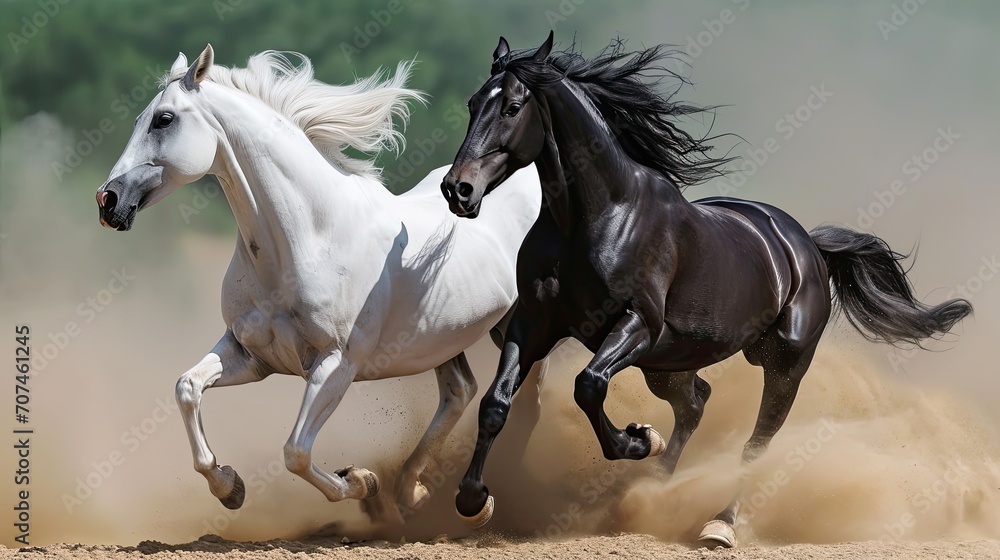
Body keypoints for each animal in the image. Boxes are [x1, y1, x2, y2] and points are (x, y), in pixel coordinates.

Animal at [95, 44, 543, 517]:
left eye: (163, 119)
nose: (107, 201)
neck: (309, 239)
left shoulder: (335, 365)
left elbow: (296, 451)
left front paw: (362, 482)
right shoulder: (249, 354)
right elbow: (187, 388)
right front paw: (229, 486)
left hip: (517, 328)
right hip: (445, 340)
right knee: (460, 391)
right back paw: (416, 491)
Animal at [439, 32, 972, 547]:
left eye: (512, 107)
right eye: (472, 103)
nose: (457, 190)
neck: (595, 216)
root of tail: (807, 246)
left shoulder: (638, 325)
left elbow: (588, 386)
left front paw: (639, 439)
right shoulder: (534, 325)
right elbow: (496, 403)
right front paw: (472, 501)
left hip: (782, 365)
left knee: (757, 441)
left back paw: (718, 524)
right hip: (669, 363)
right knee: (695, 402)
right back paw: (652, 494)